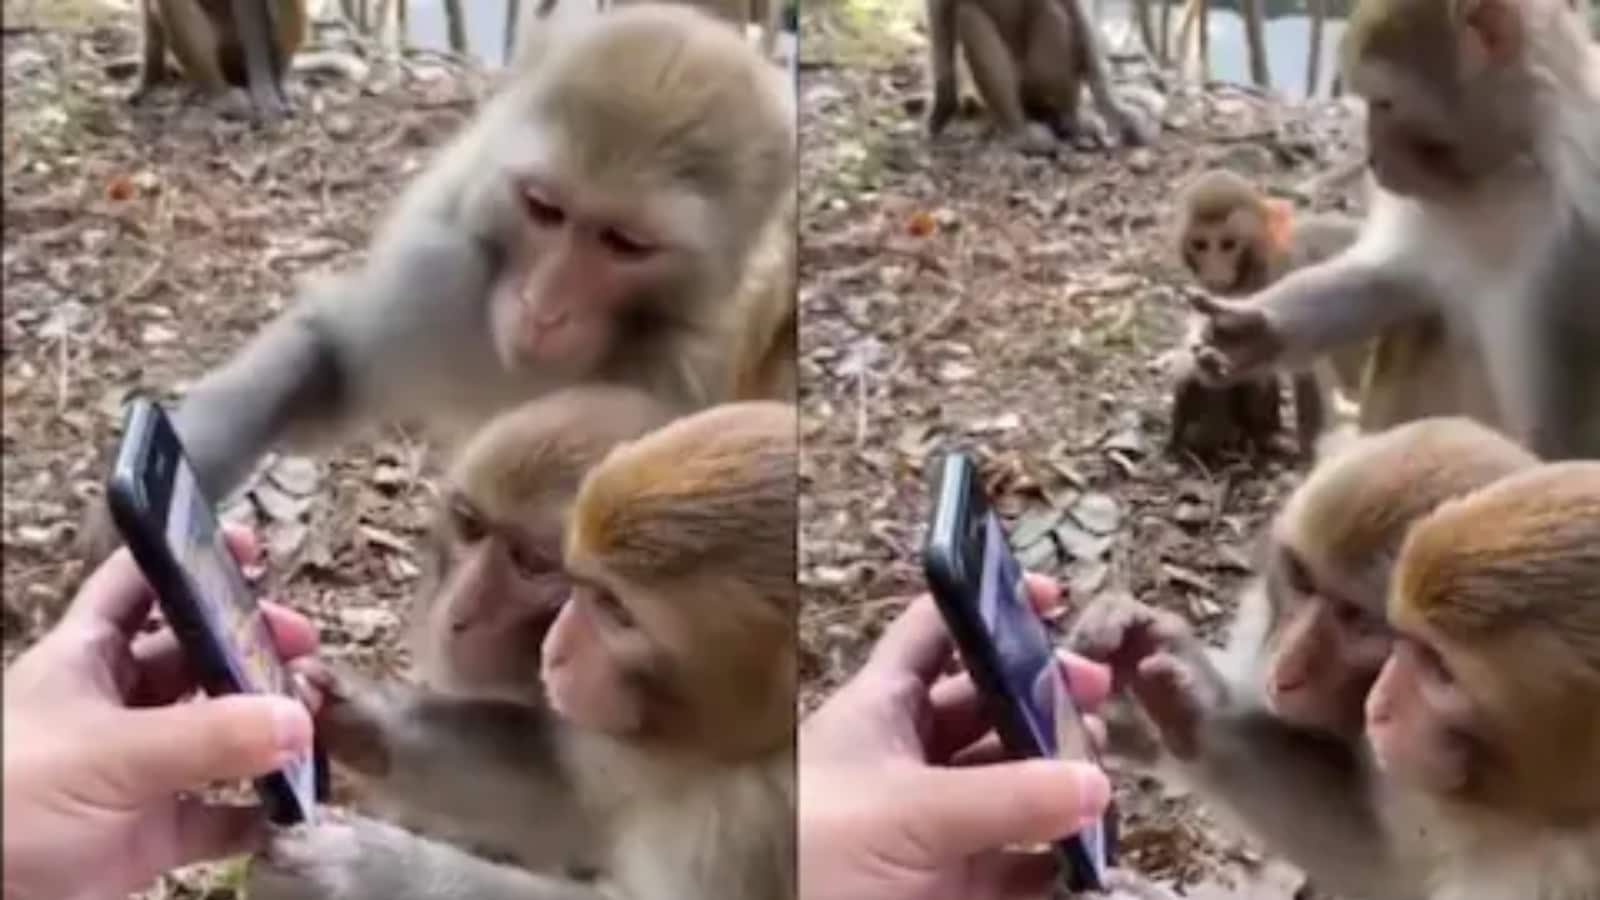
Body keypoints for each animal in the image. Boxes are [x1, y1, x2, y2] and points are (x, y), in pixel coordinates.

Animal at [923, 0, 1155, 154]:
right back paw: (1019, 131)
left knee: (1051, 8)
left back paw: (1069, 118)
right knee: (969, 15)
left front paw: (1117, 113)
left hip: (1035, 83)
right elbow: (942, 8)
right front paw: (944, 103)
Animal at [1187, 0, 1600, 461]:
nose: (1372, 158)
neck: (1511, 171)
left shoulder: (1576, 249)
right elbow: (1396, 279)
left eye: (1384, 102)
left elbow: (1555, 447)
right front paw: (1254, 334)